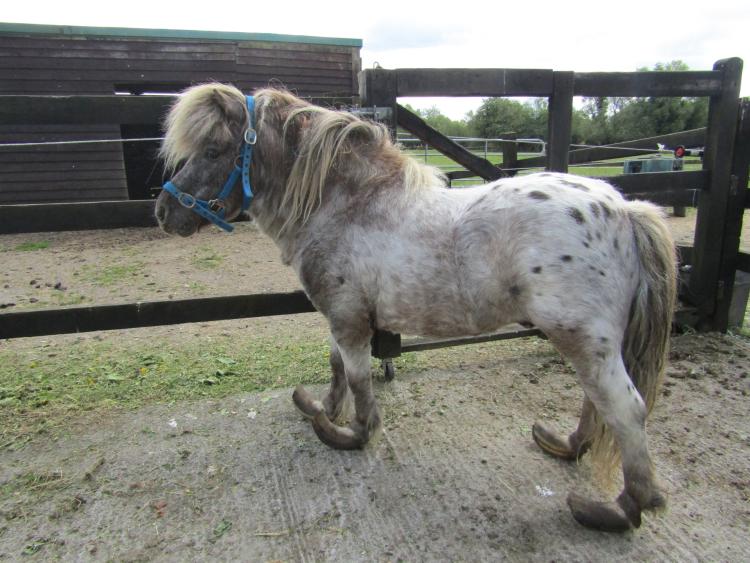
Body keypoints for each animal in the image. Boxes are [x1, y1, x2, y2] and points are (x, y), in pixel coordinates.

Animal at [155, 83, 677, 533]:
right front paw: (323, 409)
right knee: (598, 403)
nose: (162, 211)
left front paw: (352, 433)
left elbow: (359, 381)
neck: (349, 209)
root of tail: (625, 210)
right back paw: (568, 447)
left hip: (583, 340)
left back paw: (620, 511)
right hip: (591, 344)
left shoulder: (349, 321)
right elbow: (336, 369)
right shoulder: (340, 315)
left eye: (214, 150)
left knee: (626, 410)